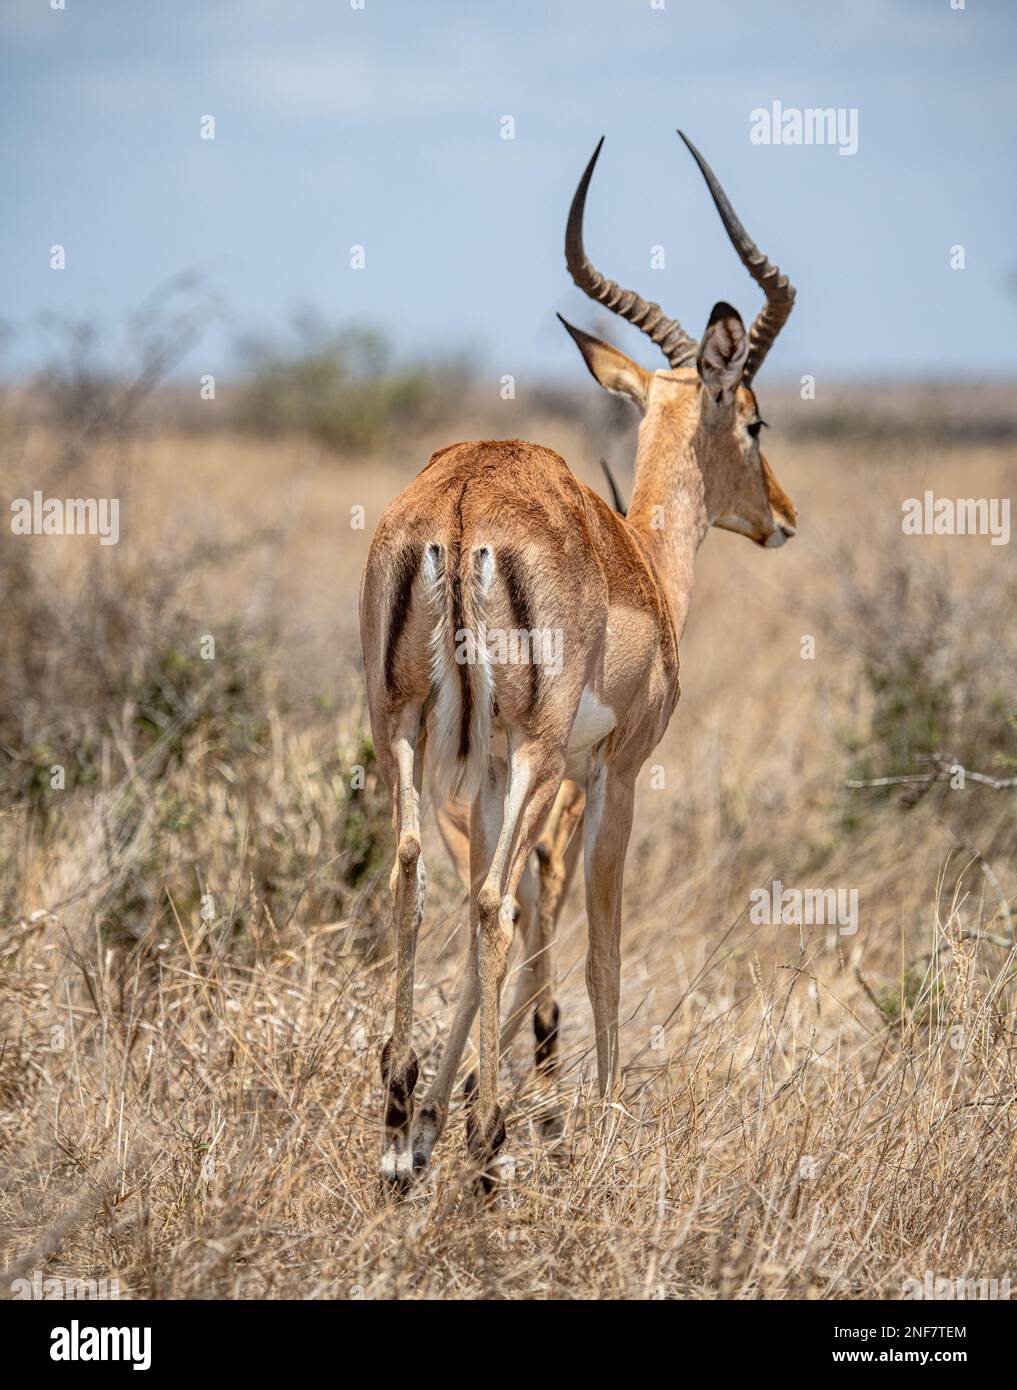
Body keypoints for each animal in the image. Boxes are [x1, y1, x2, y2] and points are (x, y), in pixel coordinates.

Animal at [360, 130, 798, 1191]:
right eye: (754, 417)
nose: (781, 515)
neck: (640, 561)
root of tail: (459, 506)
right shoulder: (616, 770)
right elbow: (602, 944)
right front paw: (596, 1120)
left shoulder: (480, 773)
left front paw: (430, 1119)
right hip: (535, 748)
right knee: (491, 905)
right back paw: (487, 1146)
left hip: (402, 730)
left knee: (413, 877)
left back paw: (397, 1123)